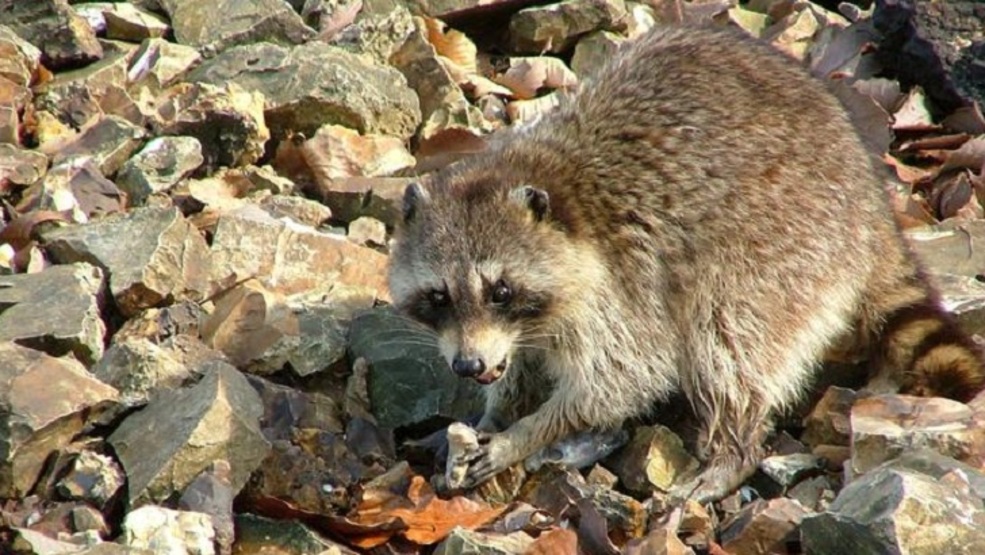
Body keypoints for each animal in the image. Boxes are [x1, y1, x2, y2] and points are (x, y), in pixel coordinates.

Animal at [386, 25, 985, 502]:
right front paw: (494, 412)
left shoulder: (624, 286)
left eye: (501, 291)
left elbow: (620, 383)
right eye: (438, 297)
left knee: (728, 342)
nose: (467, 366)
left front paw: (528, 432)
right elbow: (522, 368)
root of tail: (869, 195)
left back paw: (732, 452)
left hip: (785, 247)